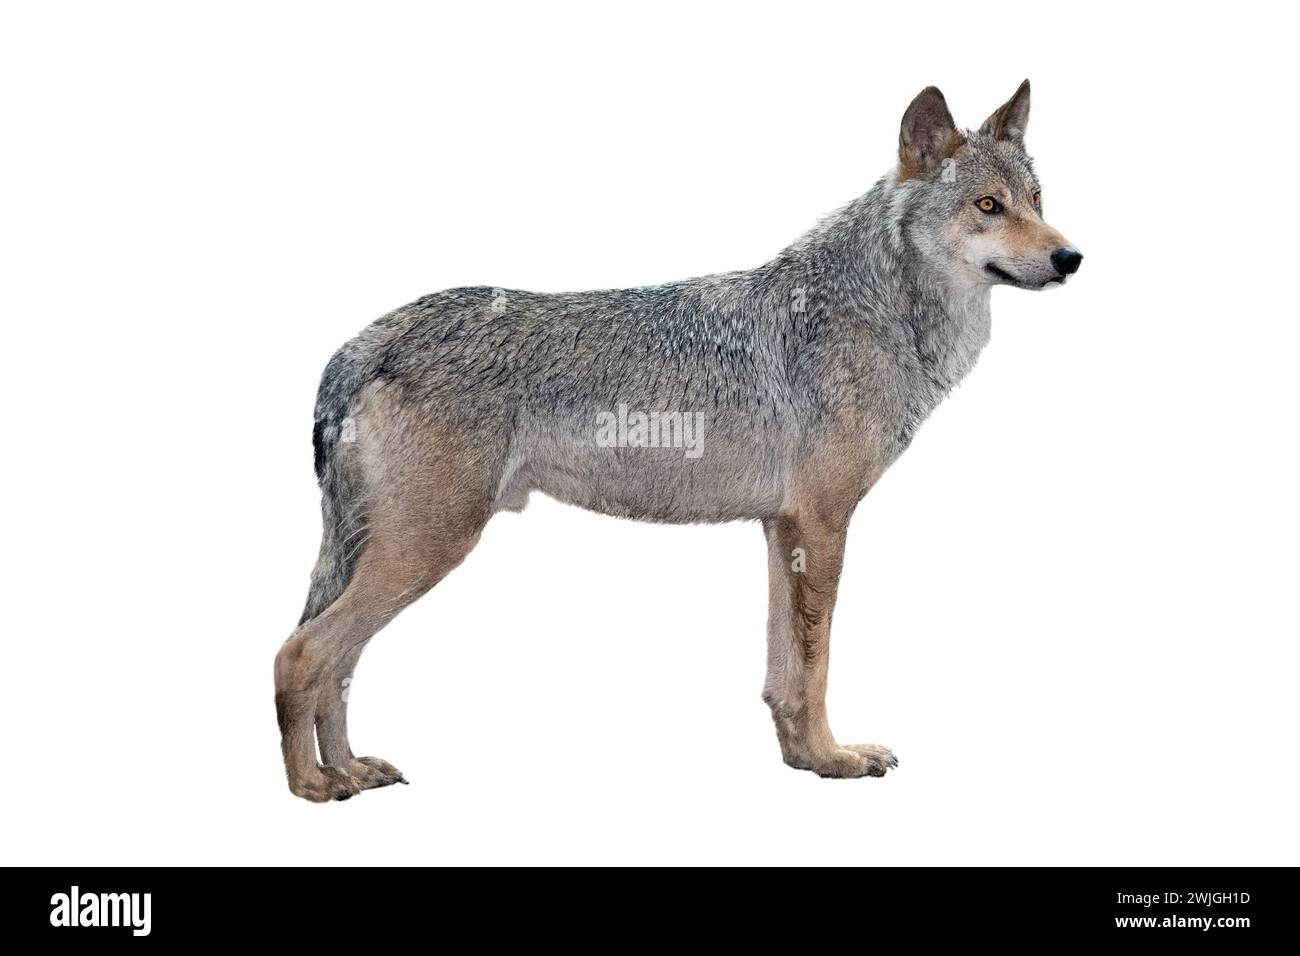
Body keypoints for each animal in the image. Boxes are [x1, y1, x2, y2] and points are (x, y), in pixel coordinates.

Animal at [275, 80, 1082, 801]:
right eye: (988, 206)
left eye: (1038, 201)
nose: (1071, 258)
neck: (878, 314)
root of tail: (359, 343)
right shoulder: (822, 525)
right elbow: (816, 667)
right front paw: (835, 762)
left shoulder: (781, 528)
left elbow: (783, 674)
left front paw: (802, 761)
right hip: (428, 548)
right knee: (300, 655)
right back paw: (313, 786)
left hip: (393, 553)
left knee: (335, 665)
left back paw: (350, 770)